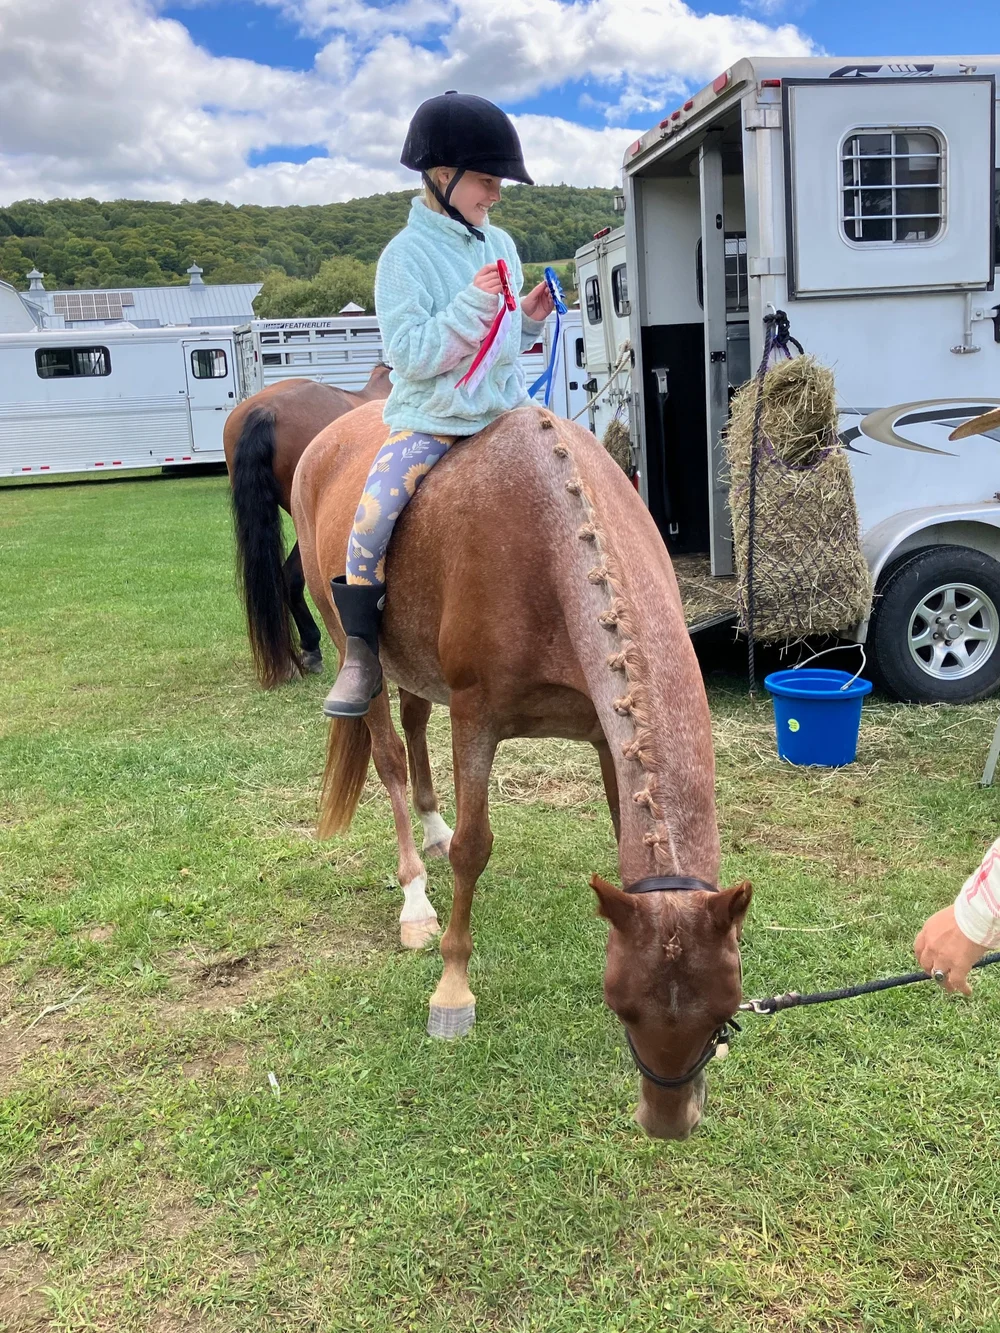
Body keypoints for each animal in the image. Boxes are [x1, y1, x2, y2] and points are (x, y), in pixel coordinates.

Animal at [281, 400, 751, 1140]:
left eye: (723, 1011)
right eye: (620, 1006)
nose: (668, 1121)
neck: (547, 546)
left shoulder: (608, 735)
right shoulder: (477, 715)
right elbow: (475, 850)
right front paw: (451, 990)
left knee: (416, 723)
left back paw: (433, 828)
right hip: (353, 645)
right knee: (389, 755)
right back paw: (415, 896)